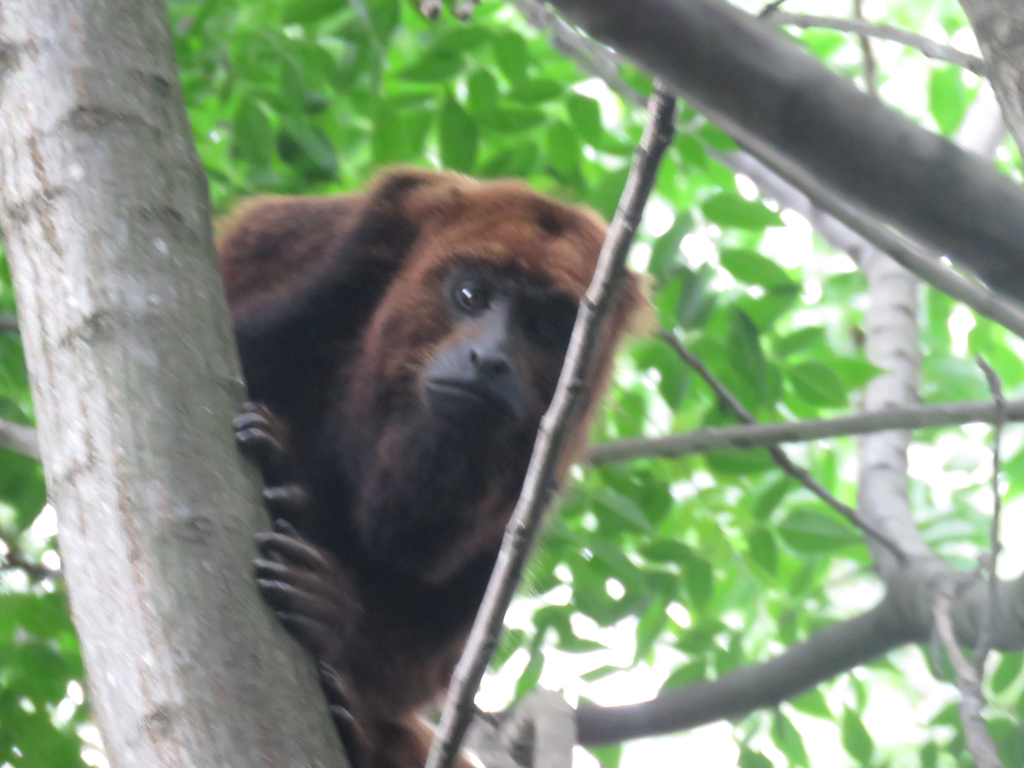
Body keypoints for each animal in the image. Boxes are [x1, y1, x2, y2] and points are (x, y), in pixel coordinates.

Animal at [217, 168, 644, 768]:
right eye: (471, 295)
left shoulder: (538, 486)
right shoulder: (311, 250)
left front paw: (332, 613)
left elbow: (421, 673)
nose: (489, 360)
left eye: (544, 327)